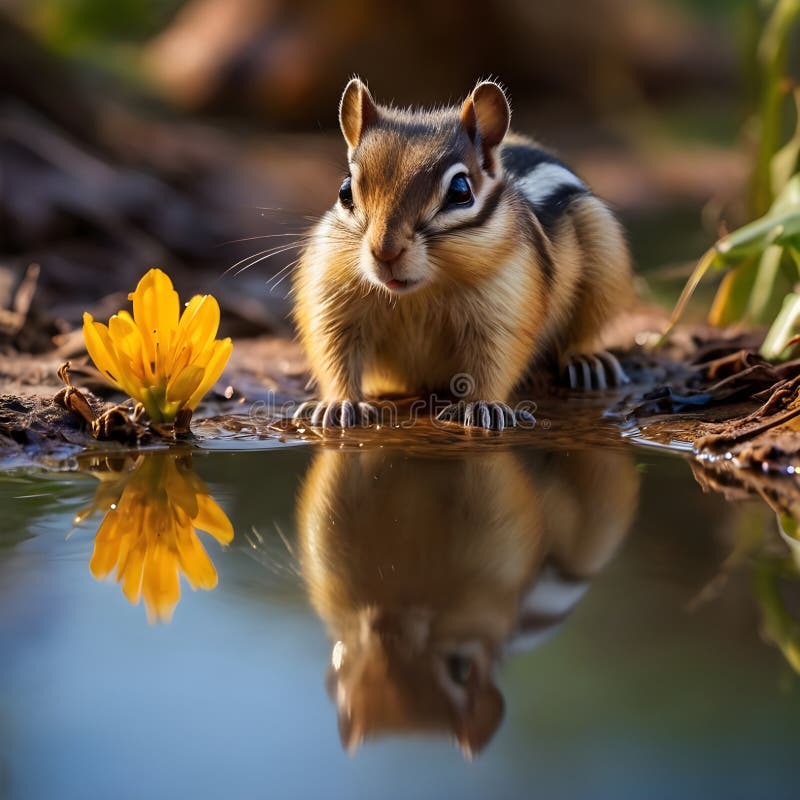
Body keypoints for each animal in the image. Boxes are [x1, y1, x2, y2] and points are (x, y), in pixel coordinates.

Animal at [293, 78, 634, 429]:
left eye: (460, 191)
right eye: (344, 191)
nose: (385, 252)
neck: (419, 293)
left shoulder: (508, 295)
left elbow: (498, 355)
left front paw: (483, 405)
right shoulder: (333, 294)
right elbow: (332, 348)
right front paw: (338, 404)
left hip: (602, 249)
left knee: (586, 331)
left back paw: (587, 362)